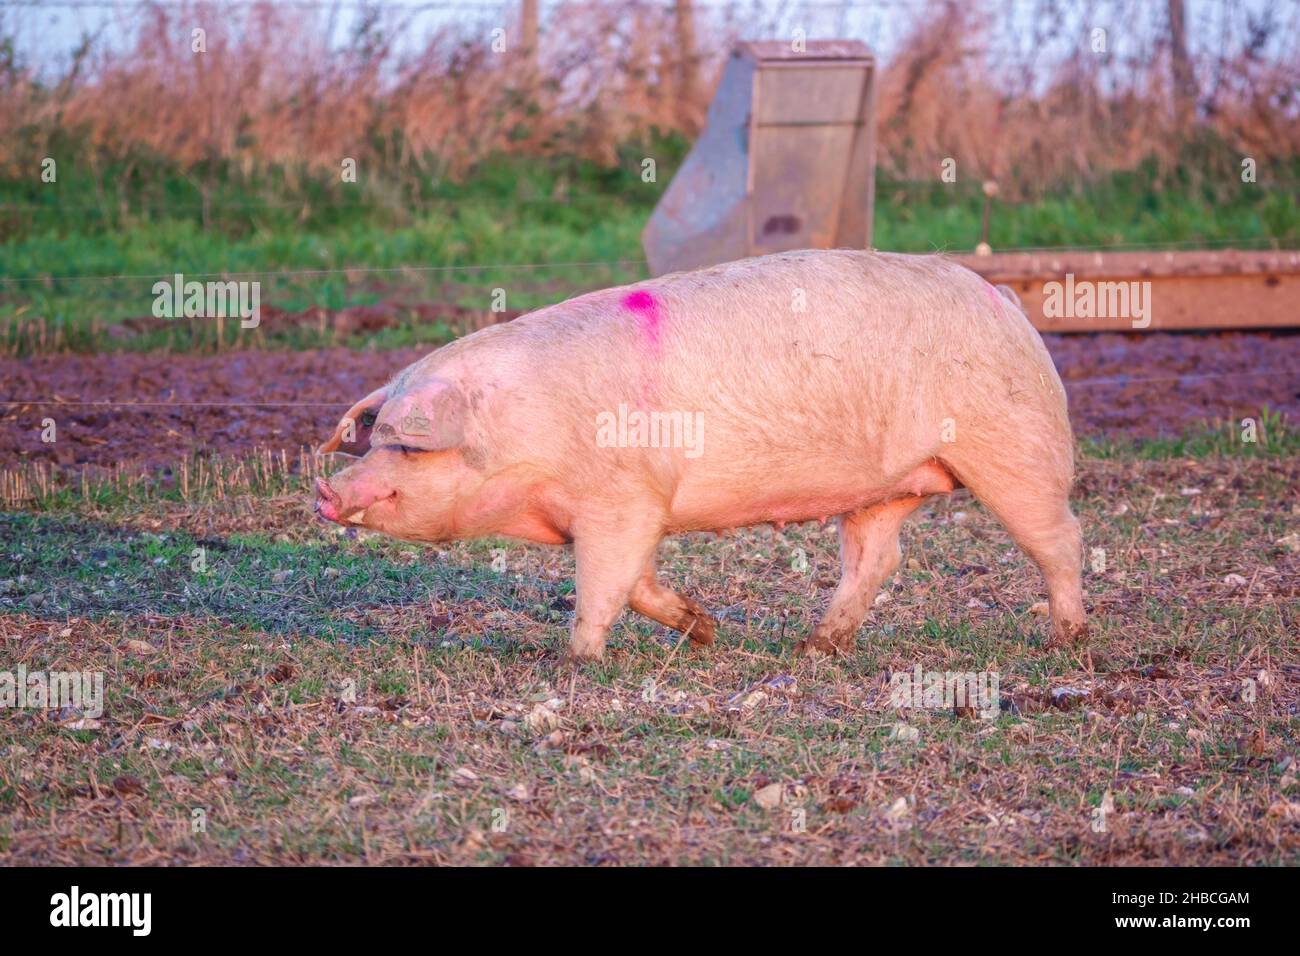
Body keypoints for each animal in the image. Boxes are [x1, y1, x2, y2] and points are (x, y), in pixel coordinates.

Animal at [315, 250, 1086, 661]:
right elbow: (638, 583)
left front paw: (574, 660)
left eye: (407, 446)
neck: (524, 436)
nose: (328, 492)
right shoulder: (633, 512)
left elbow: (604, 585)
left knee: (1060, 537)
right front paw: (707, 630)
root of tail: (1004, 299)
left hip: (1015, 442)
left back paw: (1066, 640)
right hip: (885, 488)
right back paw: (813, 648)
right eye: (374, 439)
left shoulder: (623, 500)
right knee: (878, 558)